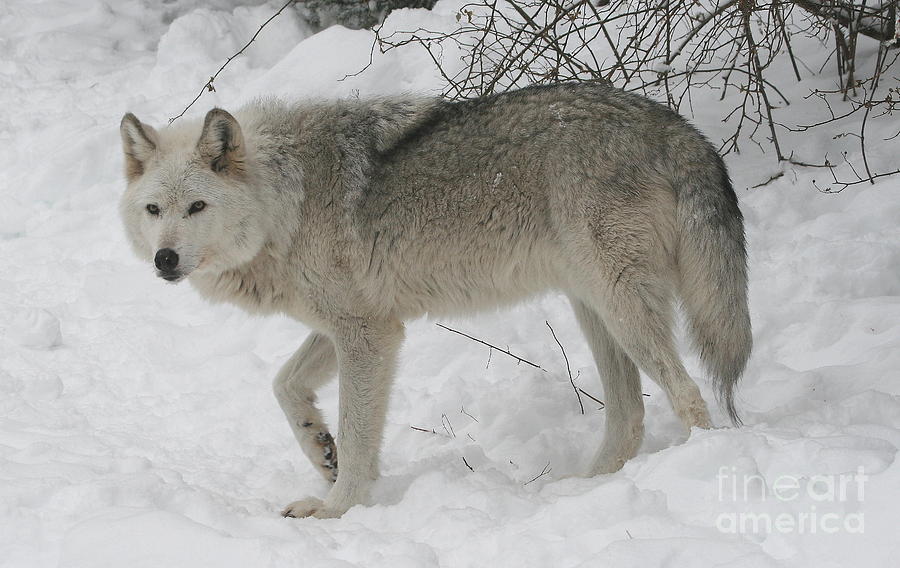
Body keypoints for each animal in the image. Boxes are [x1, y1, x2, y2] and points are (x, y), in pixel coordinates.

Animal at [119, 82, 751, 519]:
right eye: (154, 210)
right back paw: (584, 489)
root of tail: (675, 127)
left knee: (689, 394)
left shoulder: (369, 335)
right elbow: (284, 386)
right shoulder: (353, 325)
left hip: (621, 307)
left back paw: (698, 464)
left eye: (197, 207)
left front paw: (337, 508)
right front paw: (321, 454)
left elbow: (357, 435)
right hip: (595, 309)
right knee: (629, 414)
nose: (165, 259)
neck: (284, 201)